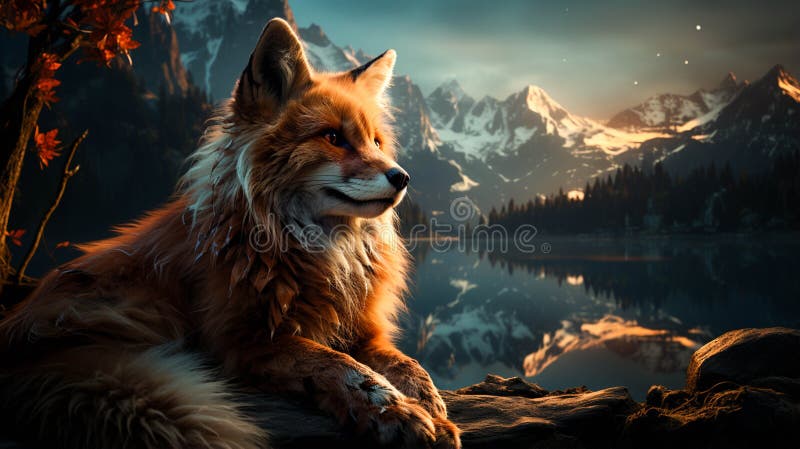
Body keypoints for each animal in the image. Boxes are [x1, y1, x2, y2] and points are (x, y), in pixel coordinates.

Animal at [0, 18, 461, 449]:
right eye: (332, 137)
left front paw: (432, 408)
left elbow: (408, 366)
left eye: (377, 142)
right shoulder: (246, 339)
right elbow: (340, 367)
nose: (402, 177)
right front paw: (394, 411)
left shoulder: (362, 328)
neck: (321, 251)